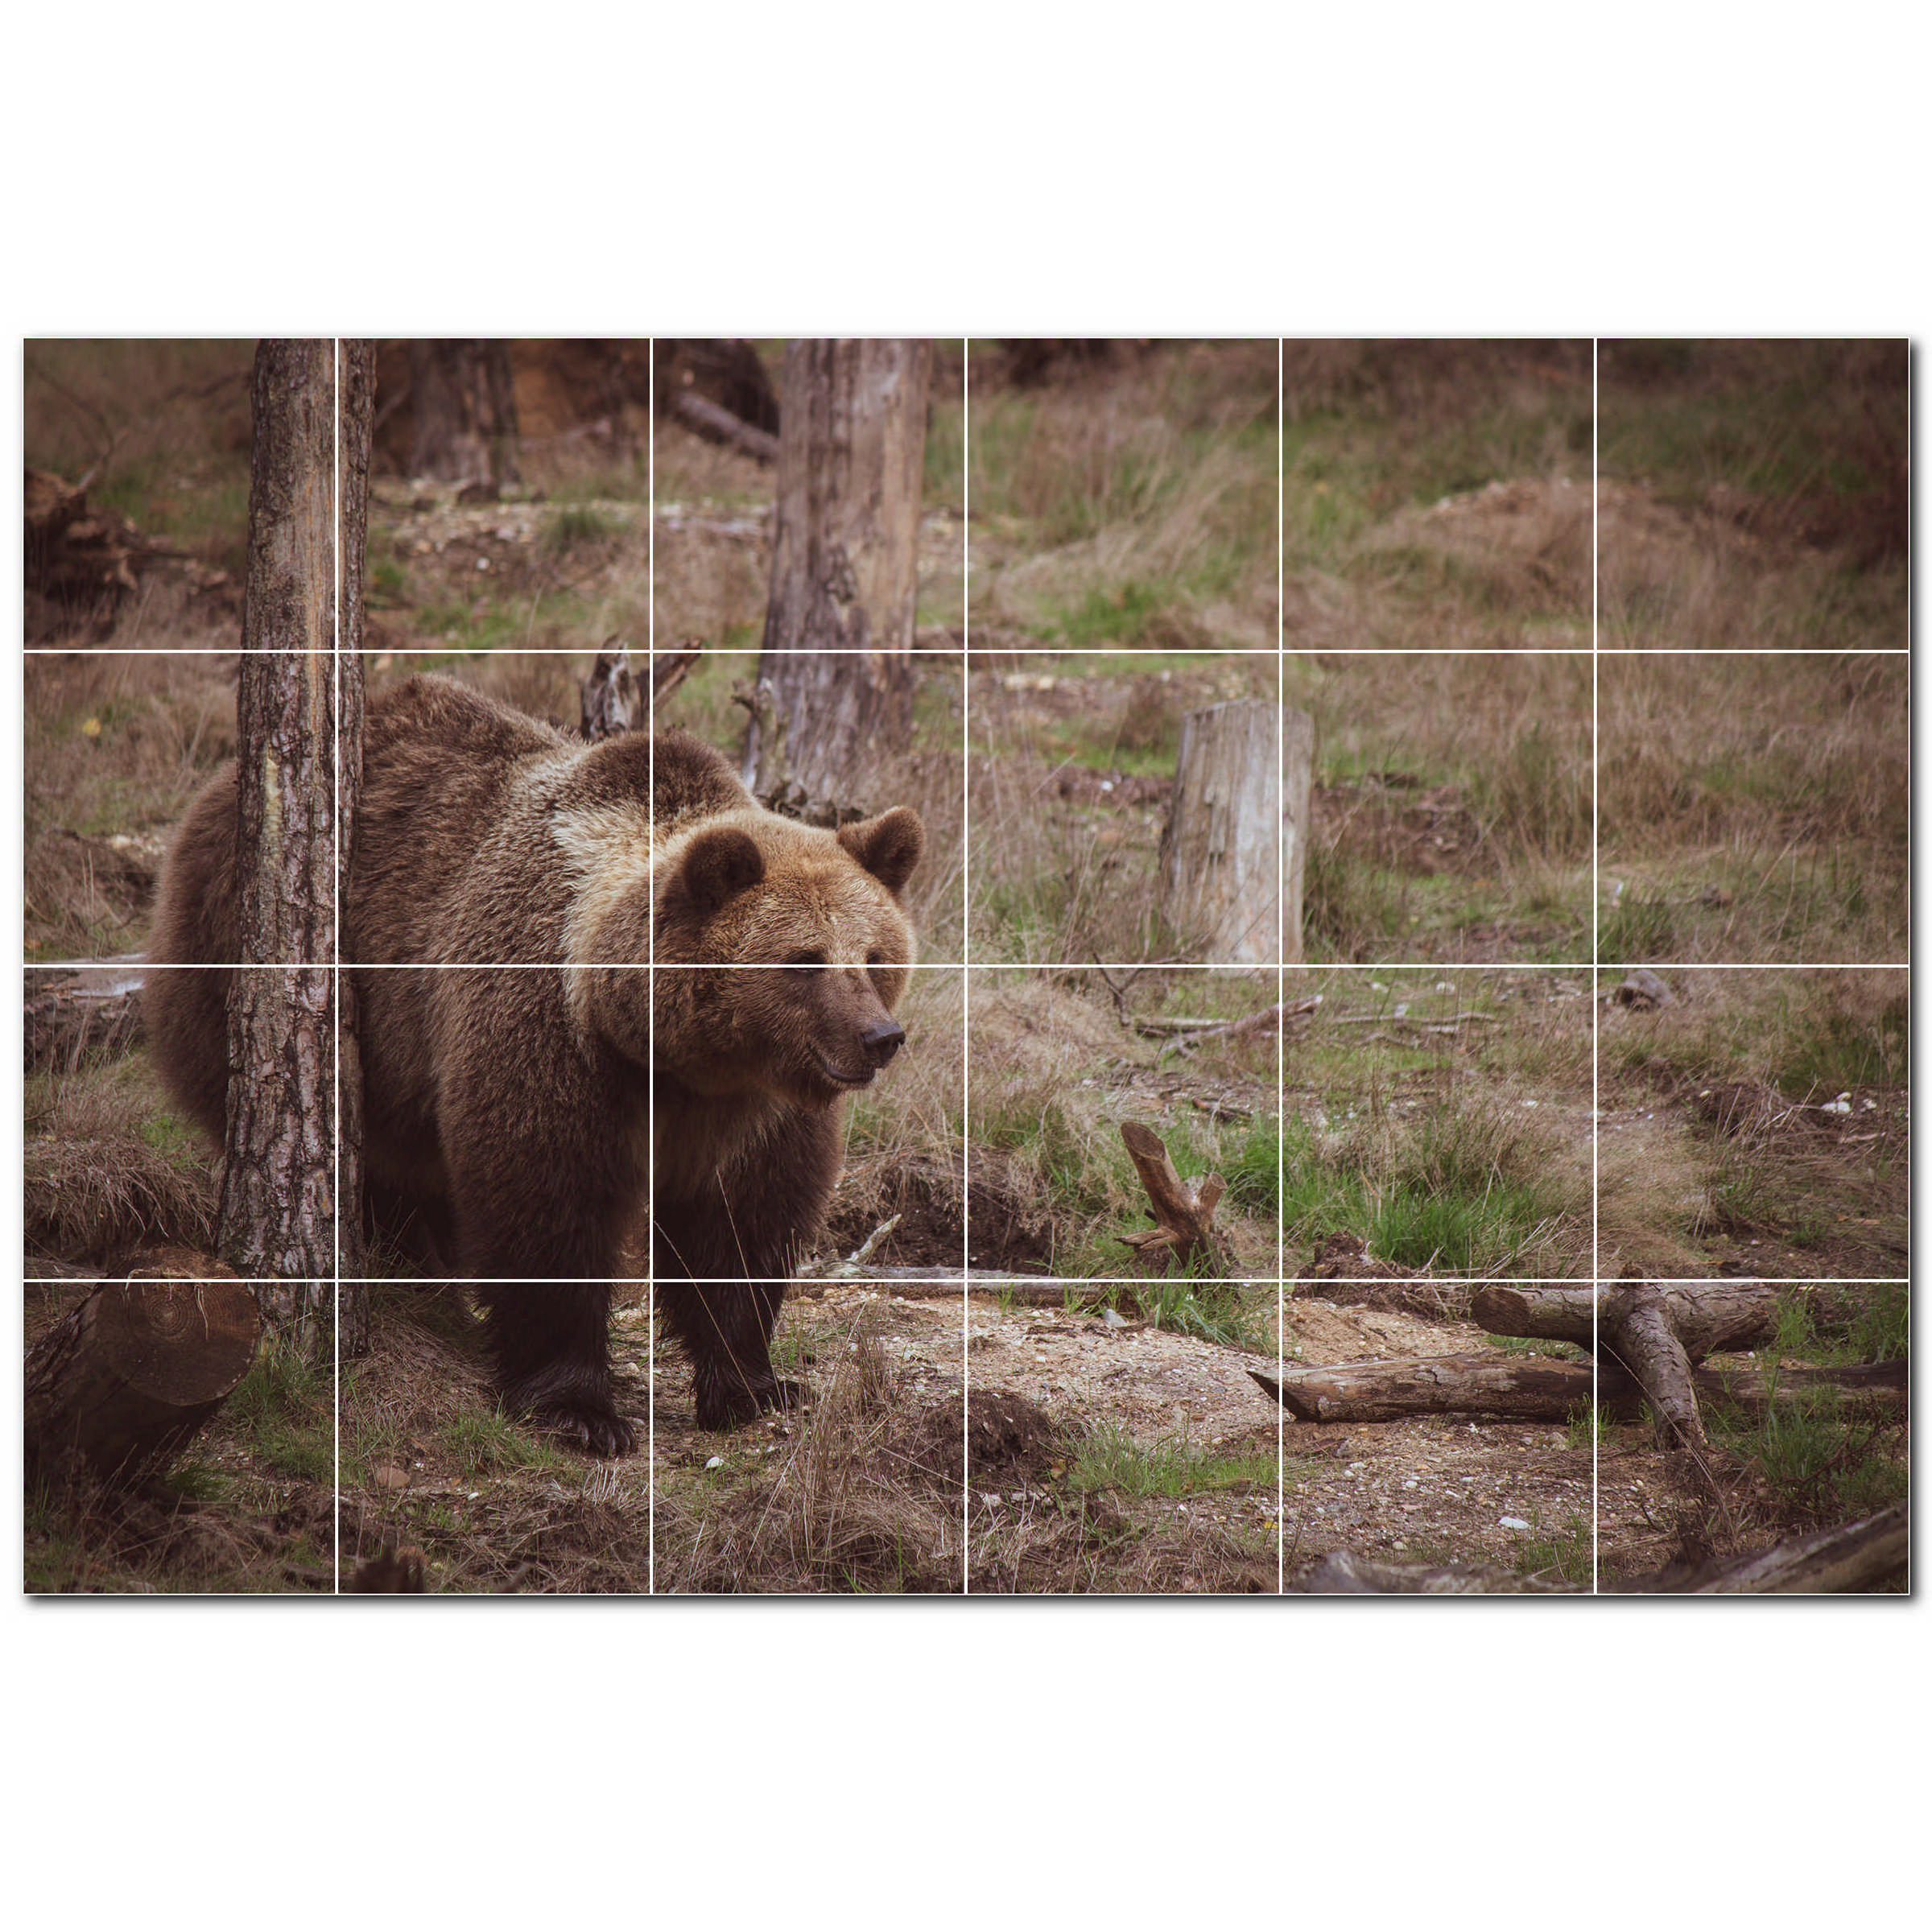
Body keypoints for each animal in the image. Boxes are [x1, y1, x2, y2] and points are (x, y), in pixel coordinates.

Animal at [142, 672, 923, 1455]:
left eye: (874, 955)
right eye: (805, 960)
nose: (879, 1037)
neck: (666, 1052)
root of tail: (214, 795)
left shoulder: (750, 1108)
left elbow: (742, 1225)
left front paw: (754, 1386)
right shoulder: (547, 1034)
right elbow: (544, 1202)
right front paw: (577, 1408)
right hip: (249, 963)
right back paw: (411, 1266)